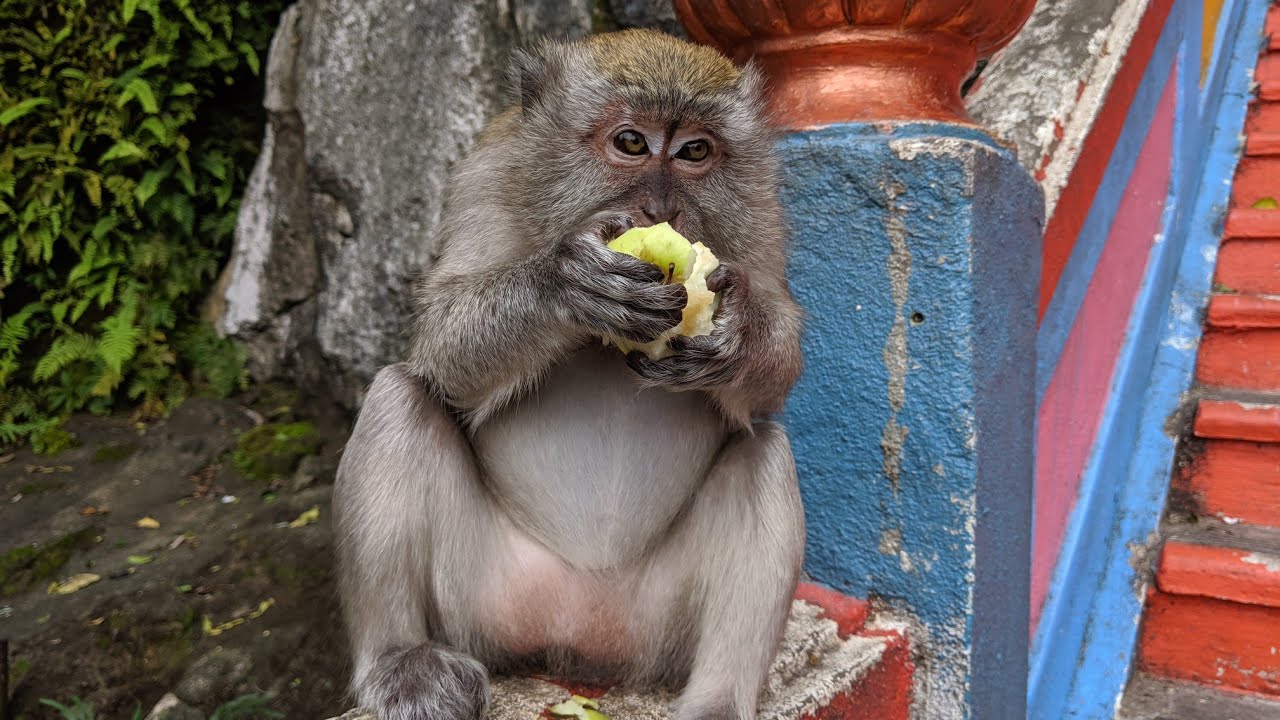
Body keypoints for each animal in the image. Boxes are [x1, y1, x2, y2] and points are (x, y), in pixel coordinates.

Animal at [332, 28, 805, 720]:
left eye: (695, 151)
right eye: (631, 142)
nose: (660, 208)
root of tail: (578, 638)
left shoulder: (760, 211)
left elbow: (778, 369)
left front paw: (742, 331)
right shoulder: (486, 179)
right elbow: (443, 349)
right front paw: (566, 283)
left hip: (654, 625)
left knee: (764, 452)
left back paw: (719, 698)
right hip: (484, 603)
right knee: (398, 395)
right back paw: (401, 661)